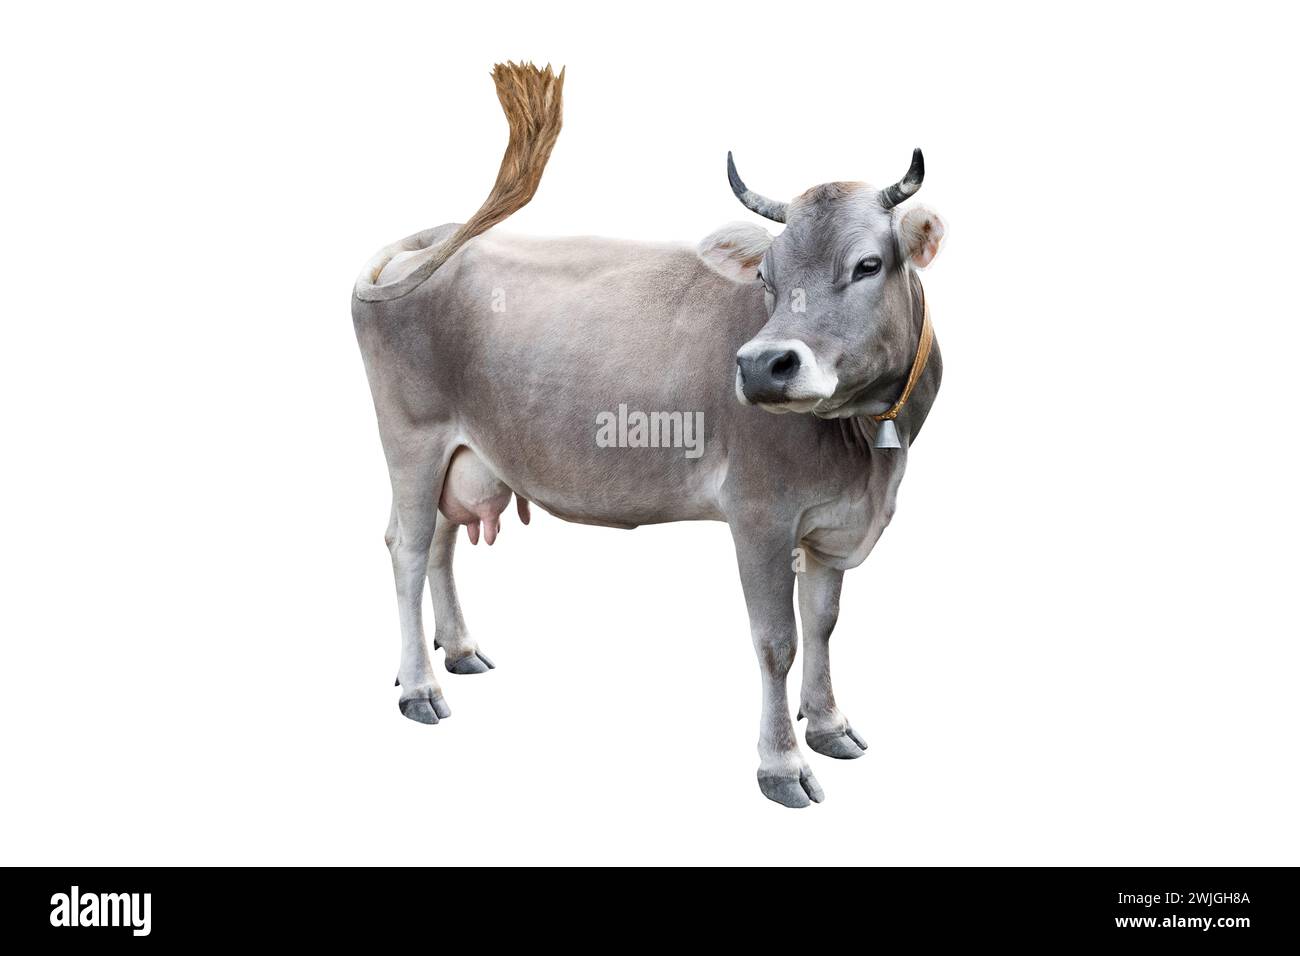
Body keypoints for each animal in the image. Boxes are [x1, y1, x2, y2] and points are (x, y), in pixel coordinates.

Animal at [353, 62, 946, 807]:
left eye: (869, 264)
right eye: (767, 276)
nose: (762, 365)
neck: (867, 460)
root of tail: (436, 238)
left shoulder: (831, 521)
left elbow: (824, 625)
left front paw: (831, 724)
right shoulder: (759, 513)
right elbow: (777, 641)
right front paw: (781, 765)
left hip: (462, 452)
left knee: (437, 541)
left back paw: (458, 652)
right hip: (411, 438)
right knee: (405, 548)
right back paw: (419, 687)